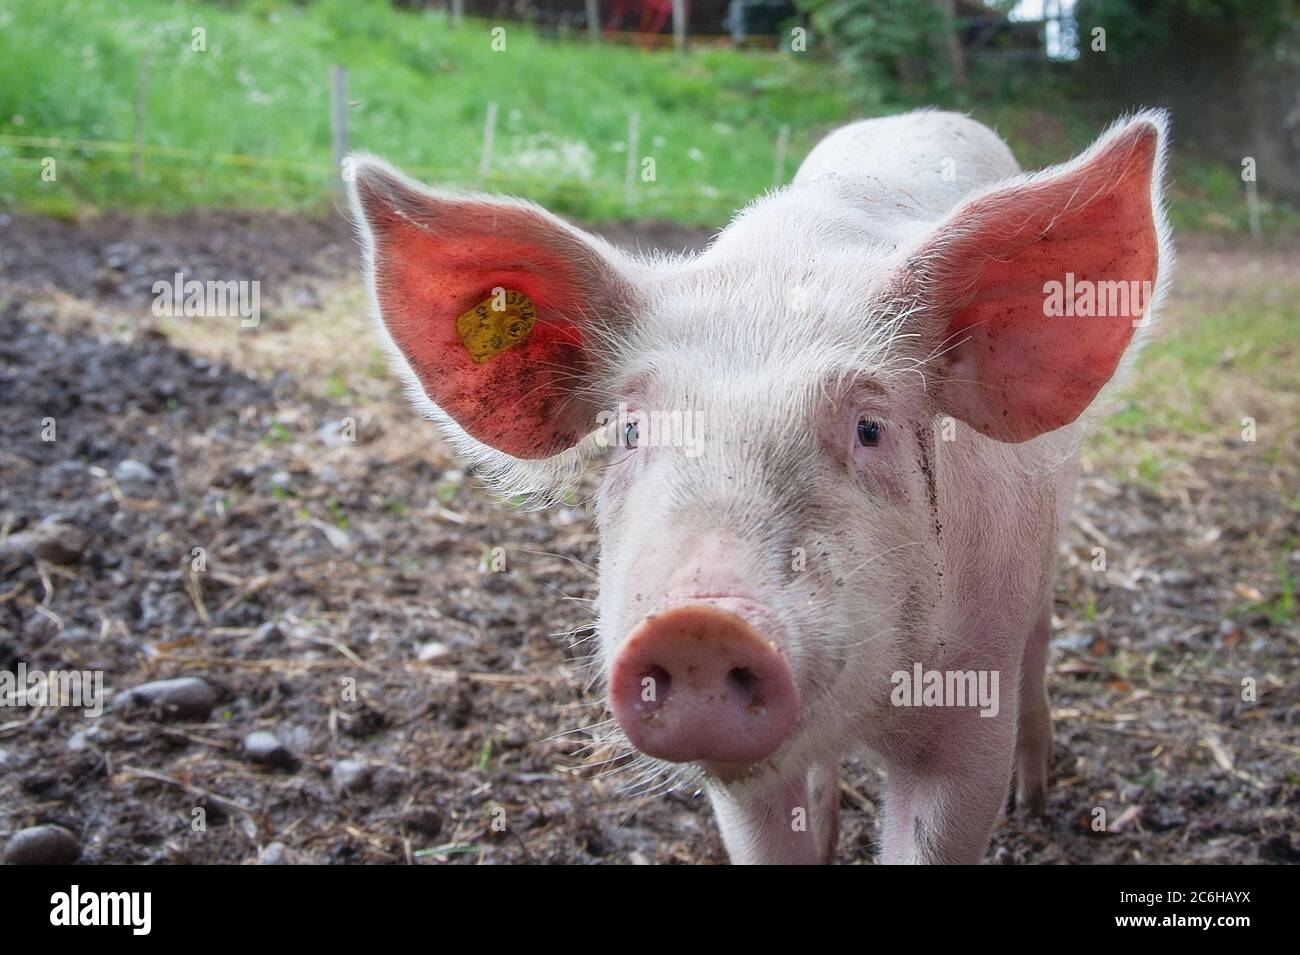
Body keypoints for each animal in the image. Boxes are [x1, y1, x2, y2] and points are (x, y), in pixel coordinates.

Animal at [349, 108, 1170, 864]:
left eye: (870, 428)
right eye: (630, 431)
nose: (699, 625)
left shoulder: (972, 717)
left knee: (1041, 645)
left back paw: (1036, 801)